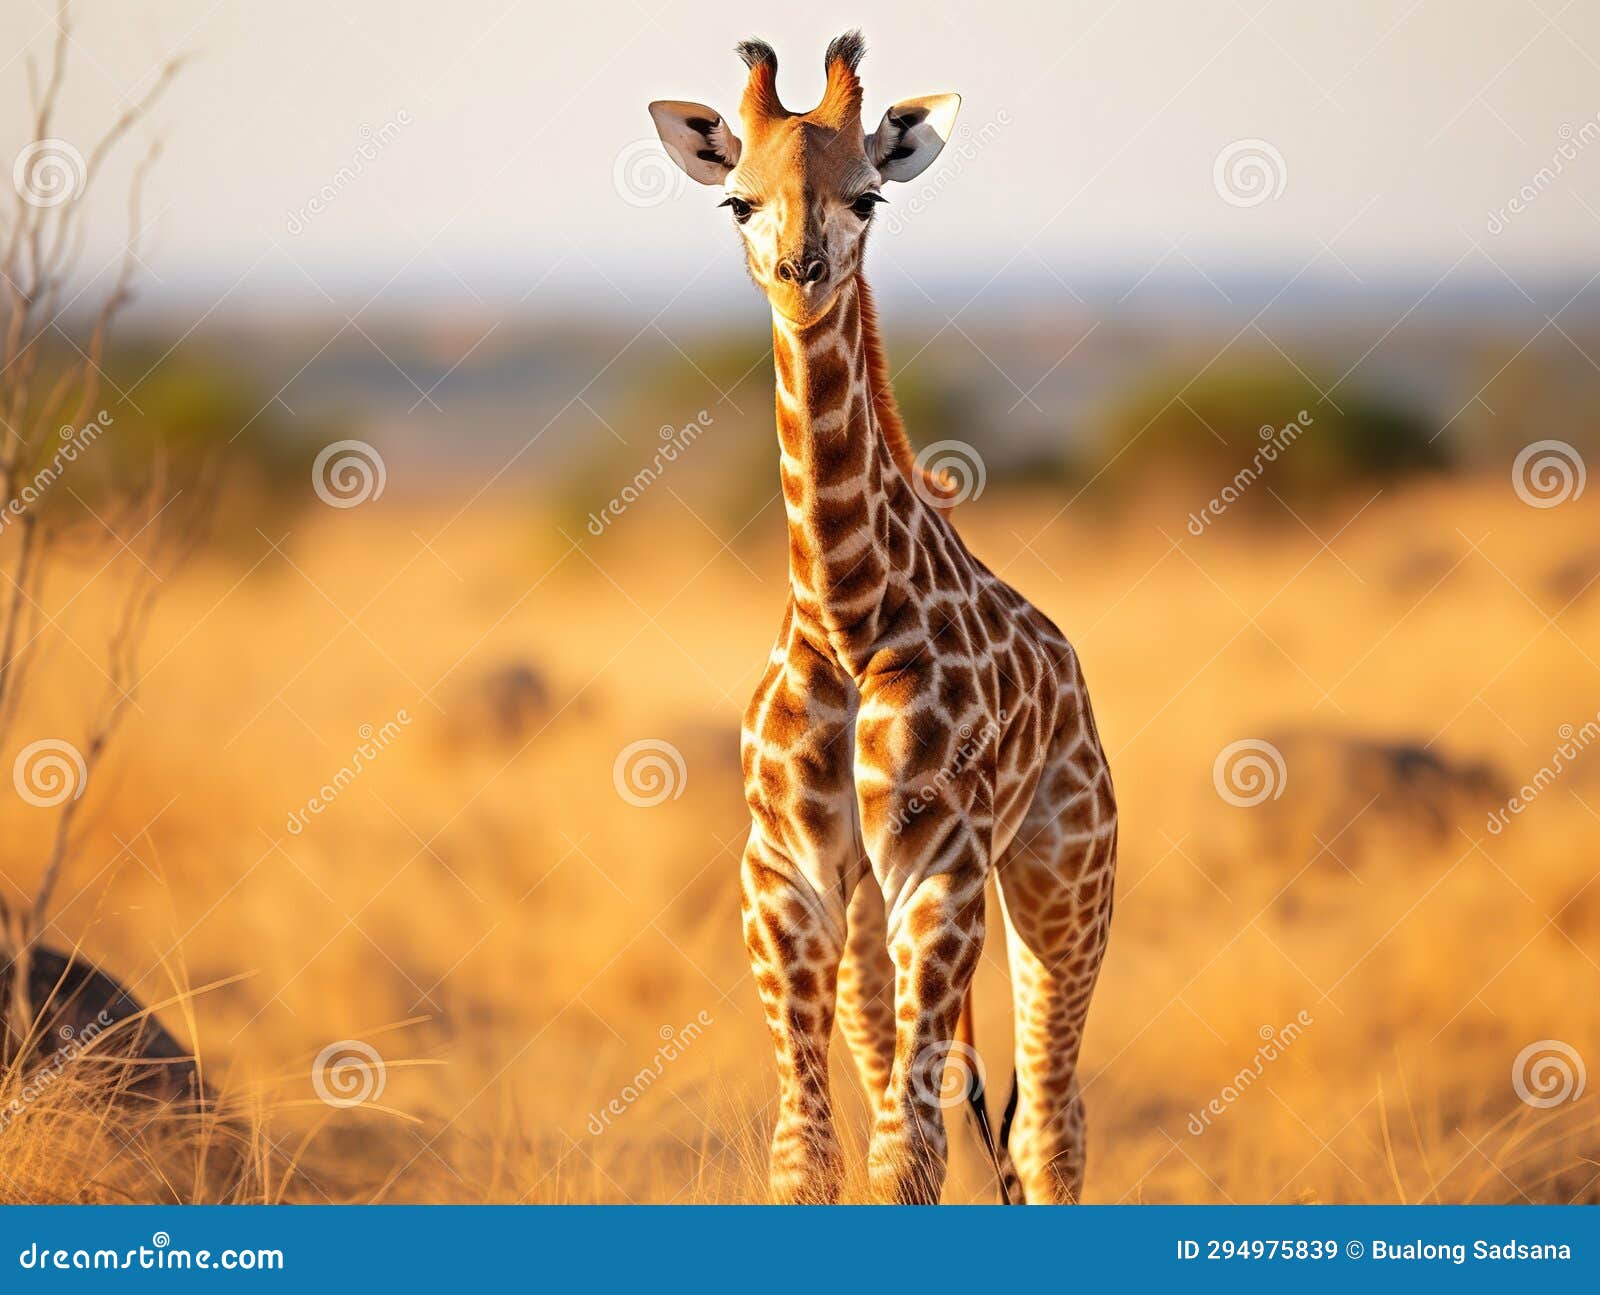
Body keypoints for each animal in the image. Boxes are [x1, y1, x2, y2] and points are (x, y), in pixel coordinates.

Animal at [649, 32, 1117, 1205]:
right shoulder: (786, 877)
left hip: (1064, 873)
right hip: (870, 920)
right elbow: (808, 1157)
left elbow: (910, 1154)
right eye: (736, 199)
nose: (801, 273)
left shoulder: (937, 871)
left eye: (867, 193)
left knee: (1048, 1125)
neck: (848, 610)